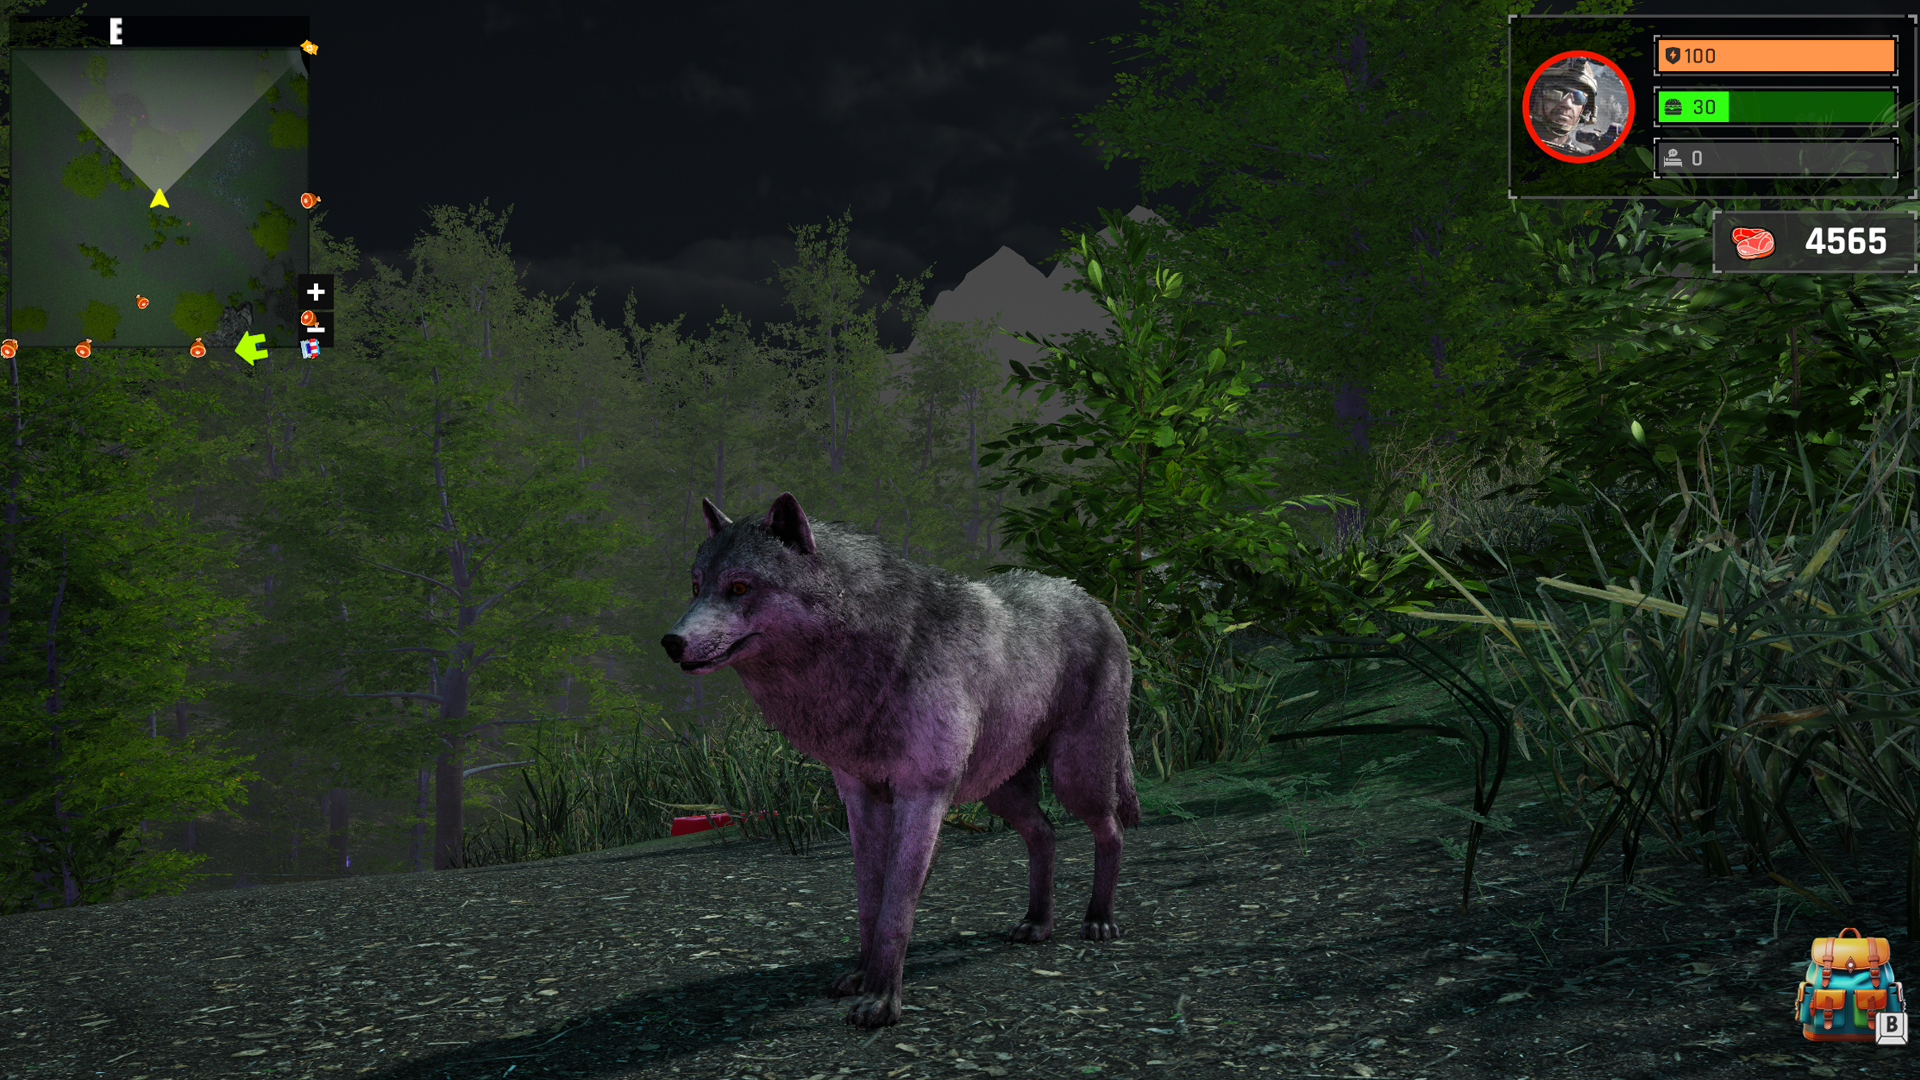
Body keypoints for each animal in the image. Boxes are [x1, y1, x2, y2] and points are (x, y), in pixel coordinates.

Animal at [660, 492, 1139, 1029]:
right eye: (696, 586)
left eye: (739, 586)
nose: (670, 642)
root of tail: (1091, 600)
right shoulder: (859, 796)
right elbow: (869, 901)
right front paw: (860, 977)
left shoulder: (922, 796)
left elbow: (896, 908)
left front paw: (881, 1000)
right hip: (999, 790)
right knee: (1045, 833)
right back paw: (1038, 923)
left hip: (1075, 777)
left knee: (1111, 830)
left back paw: (1099, 920)